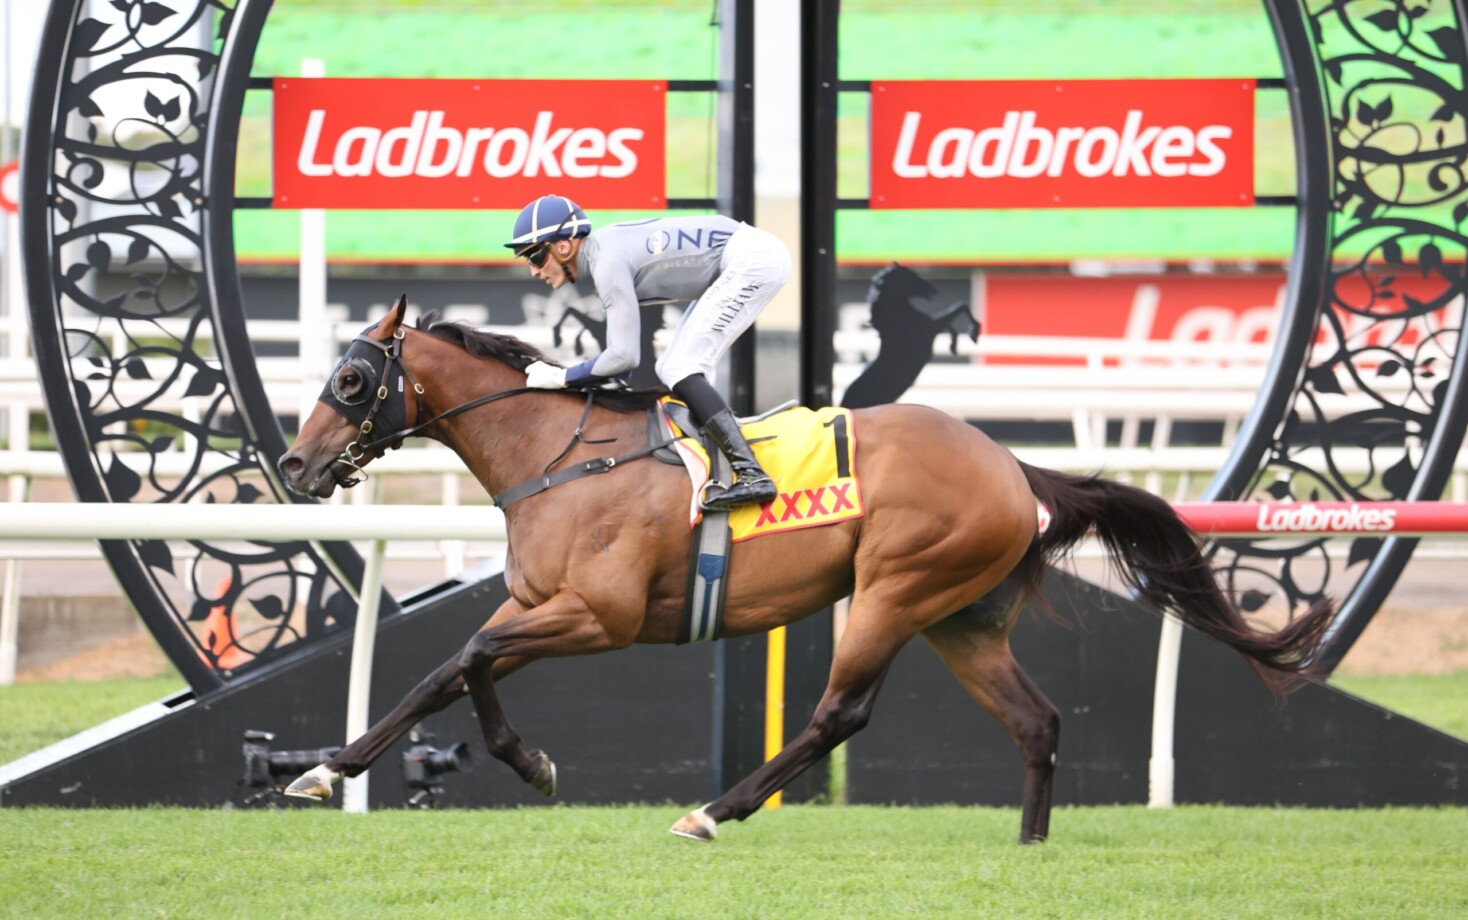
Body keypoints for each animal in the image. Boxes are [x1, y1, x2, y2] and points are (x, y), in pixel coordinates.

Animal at [275, 294, 1335, 844]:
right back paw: (1031, 845)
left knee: (841, 712)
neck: (558, 451)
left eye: (352, 380)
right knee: (1036, 720)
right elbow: (455, 668)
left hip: (896, 590)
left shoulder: (598, 615)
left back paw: (716, 810)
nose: (292, 466)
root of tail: (1011, 464)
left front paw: (516, 762)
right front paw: (336, 770)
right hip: (960, 619)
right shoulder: (543, 606)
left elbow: (464, 660)